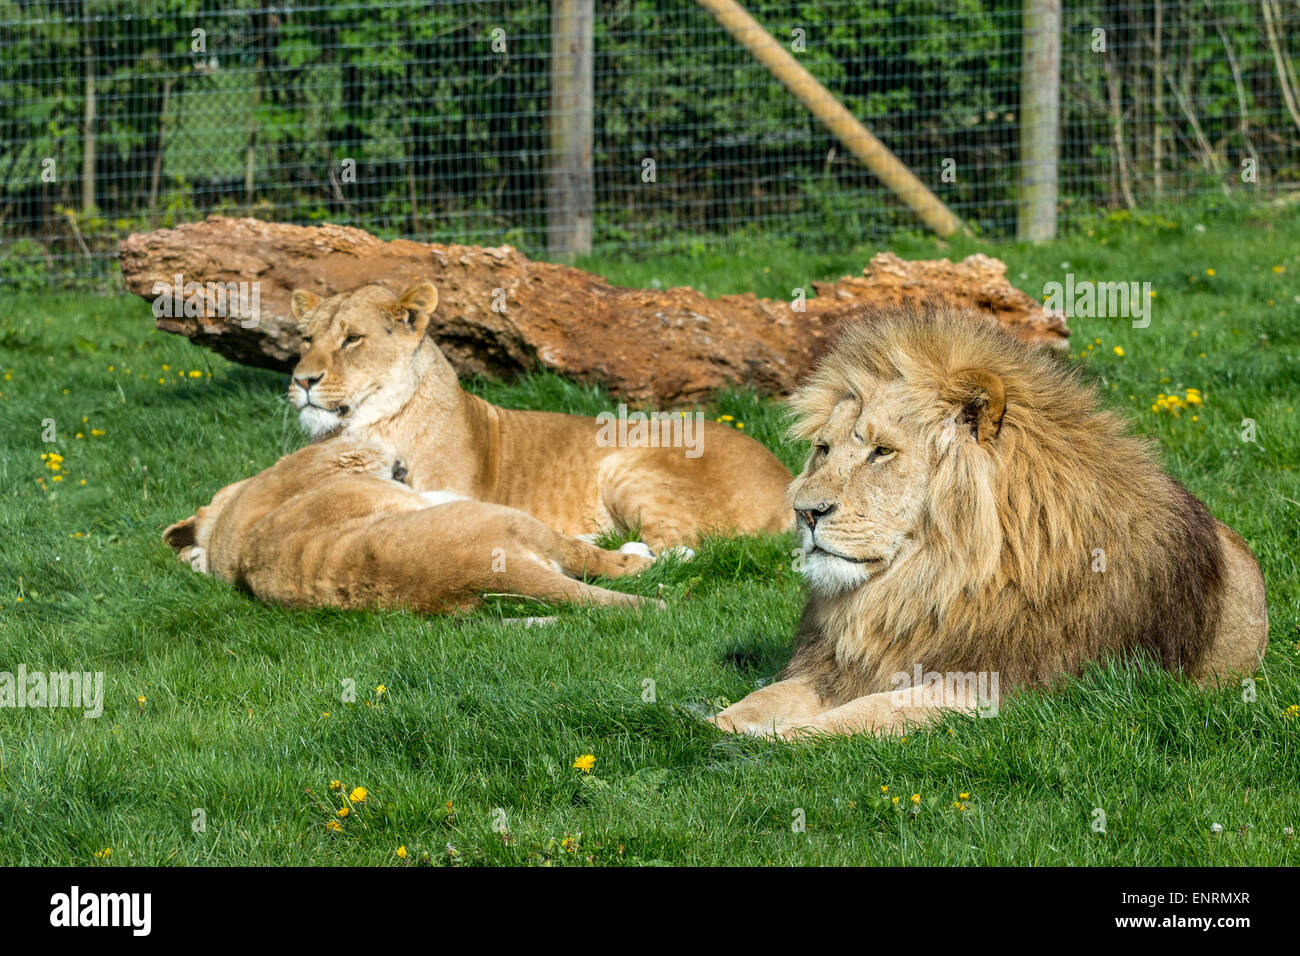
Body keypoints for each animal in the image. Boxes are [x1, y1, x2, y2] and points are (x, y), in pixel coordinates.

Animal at [285, 282, 793, 553]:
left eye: (352, 339)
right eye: (306, 339)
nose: (302, 380)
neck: (366, 426)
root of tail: (787, 477)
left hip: (626, 464)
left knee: (678, 549)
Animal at [711, 306, 1269, 738]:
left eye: (882, 451)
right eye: (823, 449)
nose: (804, 511)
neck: (927, 584)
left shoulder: (1006, 689)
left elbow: (867, 714)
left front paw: (784, 738)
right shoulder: (836, 668)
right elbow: (762, 699)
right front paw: (717, 728)